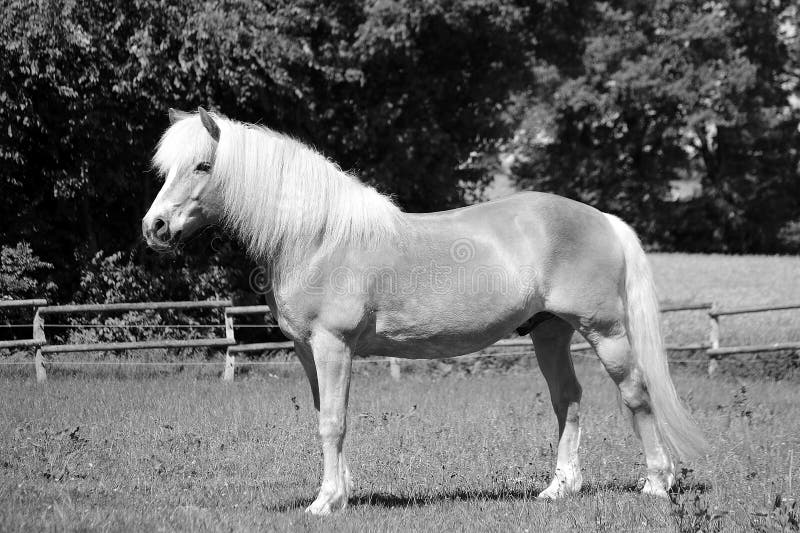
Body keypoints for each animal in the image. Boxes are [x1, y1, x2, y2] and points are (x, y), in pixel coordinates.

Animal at [142, 107, 706, 515]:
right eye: (165, 170)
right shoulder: (308, 352)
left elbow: (333, 422)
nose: (155, 228)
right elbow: (328, 416)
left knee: (635, 394)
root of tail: (604, 219)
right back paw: (559, 489)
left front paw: (325, 503)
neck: (319, 237)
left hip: (605, 331)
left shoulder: (332, 346)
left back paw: (656, 484)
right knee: (567, 399)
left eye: (204, 166)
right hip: (549, 333)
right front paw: (341, 491)